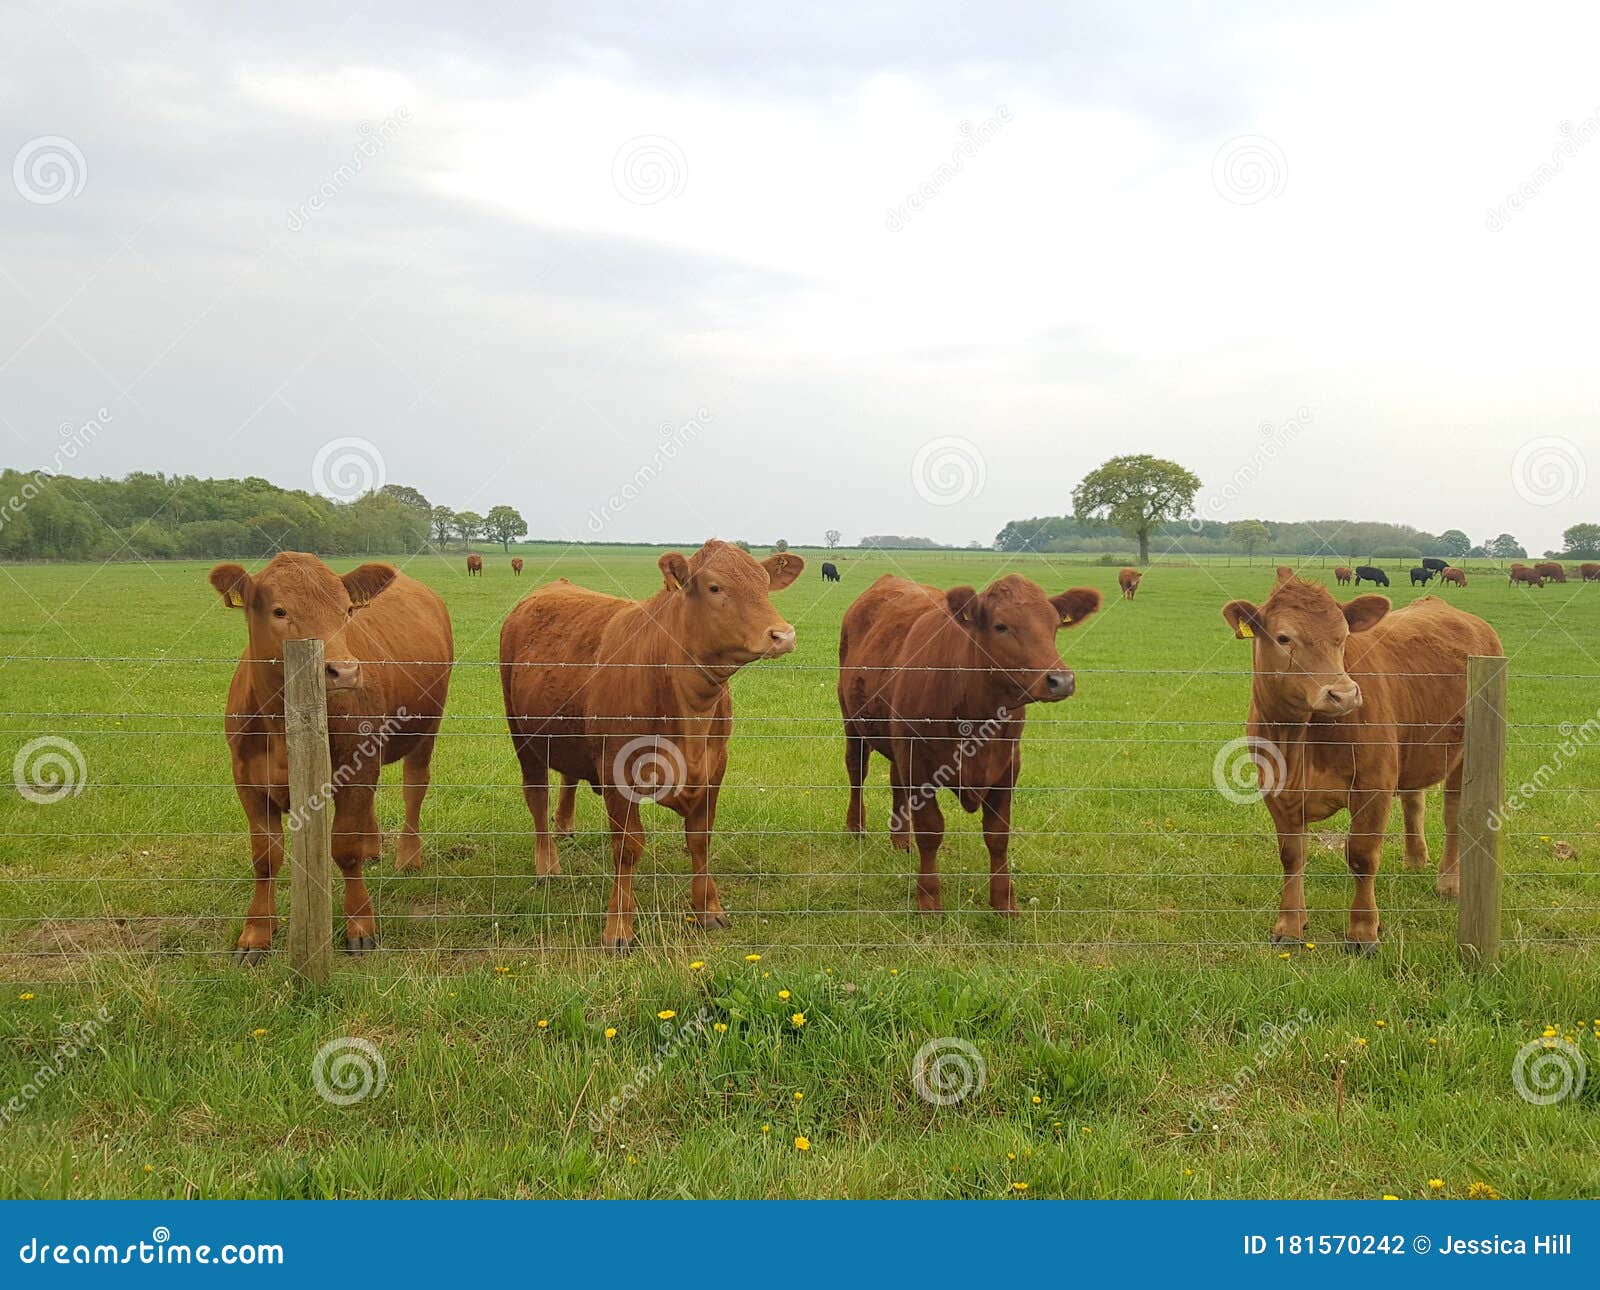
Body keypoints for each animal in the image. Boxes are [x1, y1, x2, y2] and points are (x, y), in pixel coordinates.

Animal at [208, 553, 454, 963]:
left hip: (425, 730)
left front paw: (360, 925)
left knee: (414, 787)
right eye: (279, 610)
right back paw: (374, 848)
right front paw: (257, 932)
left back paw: (408, 856)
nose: (345, 671)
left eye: (347, 611)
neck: (283, 726)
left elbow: (345, 849)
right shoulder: (247, 781)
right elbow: (265, 857)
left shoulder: (355, 769)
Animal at [501, 540, 803, 951]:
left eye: (764, 583)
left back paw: (564, 827)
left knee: (567, 778)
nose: (783, 635)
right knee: (536, 796)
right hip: (522, 734)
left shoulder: (715, 767)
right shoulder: (616, 769)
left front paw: (708, 909)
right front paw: (618, 928)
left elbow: (700, 840)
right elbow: (627, 848)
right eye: (715, 587)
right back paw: (548, 866)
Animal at [839, 574, 1102, 915]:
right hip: (852, 720)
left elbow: (998, 834)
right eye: (1001, 626)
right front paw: (929, 899)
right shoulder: (917, 761)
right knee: (857, 770)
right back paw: (856, 827)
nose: (1061, 681)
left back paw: (900, 840)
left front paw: (1004, 902)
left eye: (1054, 625)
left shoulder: (1008, 766)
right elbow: (931, 830)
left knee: (895, 780)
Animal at [1221, 577, 1501, 954]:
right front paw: (1290, 926)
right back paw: (1415, 860)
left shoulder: (1374, 785)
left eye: (1342, 637)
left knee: (1455, 815)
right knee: (1414, 801)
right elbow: (1292, 855)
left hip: (1465, 753)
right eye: (1283, 638)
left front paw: (1363, 932)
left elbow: (1362, 856)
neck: (1297, 737)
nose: (1344, 694)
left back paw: (1449, 883)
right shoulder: (1276, 789)